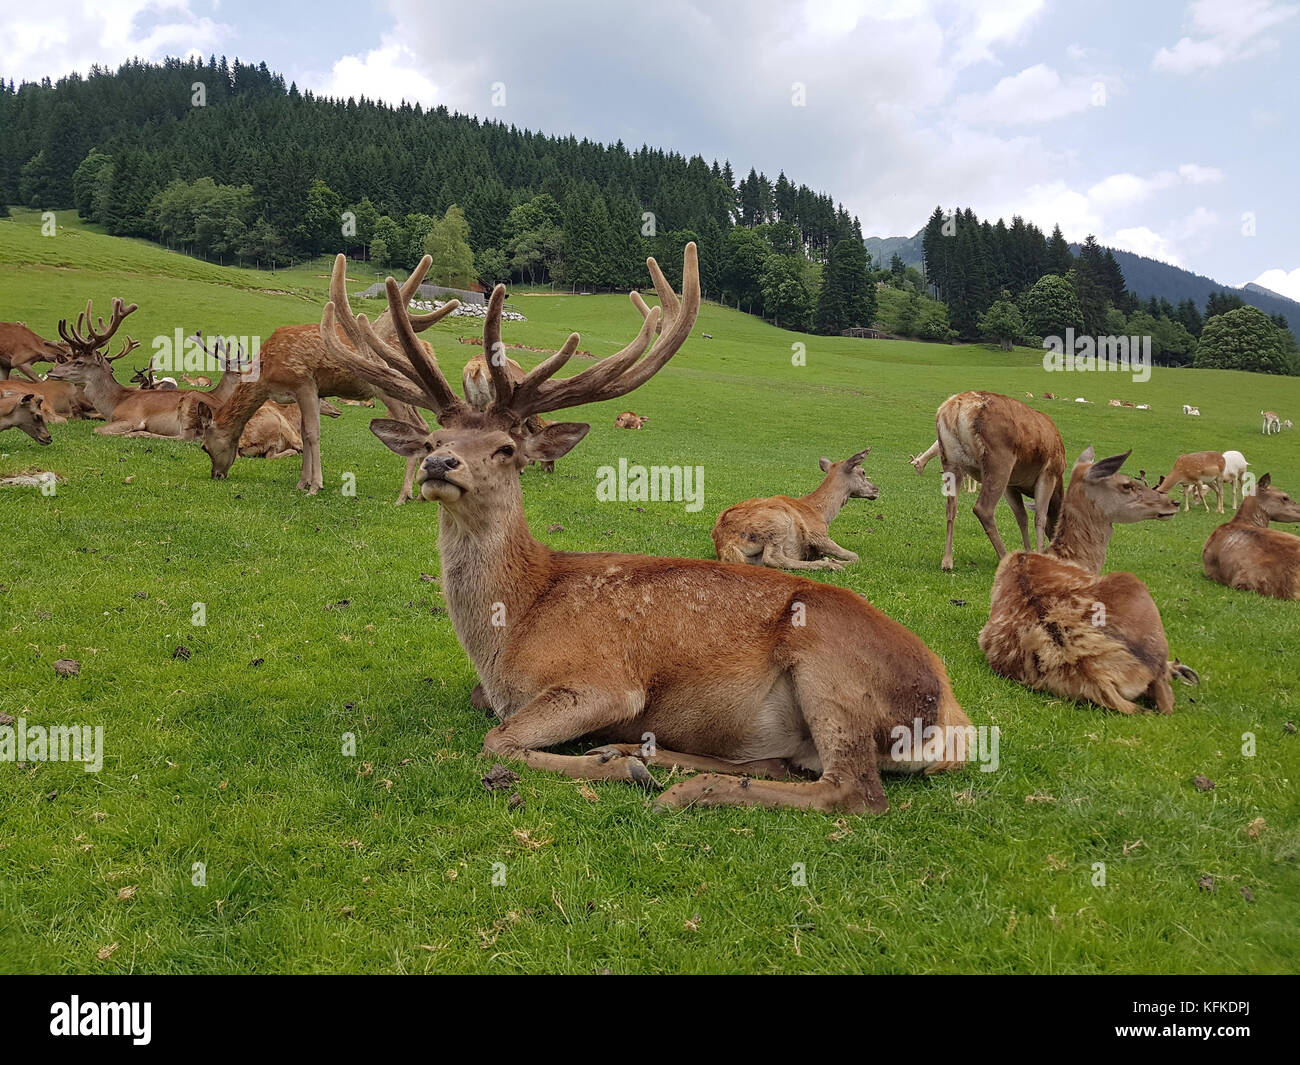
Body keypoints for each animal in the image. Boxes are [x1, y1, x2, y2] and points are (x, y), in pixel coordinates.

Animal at [46, 298, 215, 439]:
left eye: (80, 361)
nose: (50, 371)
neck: (114, 404)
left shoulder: (131, 417)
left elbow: (97, 429)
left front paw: (131, 430)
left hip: (191, 406)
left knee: (186, 437)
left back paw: (137, 433)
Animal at [202, 255, 454, 504]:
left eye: (204, 446)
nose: (217, 474)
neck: (265, 376)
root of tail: (428, 348)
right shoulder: (313, 391)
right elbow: (305, 432)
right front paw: (301, 483)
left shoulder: (302, 381)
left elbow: (312, 433)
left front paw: (315, 486)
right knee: (420, 425)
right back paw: (416, 491)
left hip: (387, 388)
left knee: (415, 424)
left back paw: (403, 494)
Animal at [712, 450, 876, 571]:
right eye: (863, 472)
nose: (876, 489)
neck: (823, 513)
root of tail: (726, 545)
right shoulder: (817, 534)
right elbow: (855, 556)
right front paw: (833, 560)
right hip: (778, 522)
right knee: (772, 558)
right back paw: (829, 565)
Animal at [913, 392, 1065, 571]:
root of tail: (956, 408)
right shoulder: (1049, 472)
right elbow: (1040, 517)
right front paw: (1040, 554)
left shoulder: (1012, 485)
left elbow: (1022, 517)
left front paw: (1028, 551)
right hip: (999, 461)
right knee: (983, 508)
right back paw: (1004, 556)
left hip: (950, 460)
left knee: (951, 508)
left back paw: (947, 561)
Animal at [979, 446, 1197, 715]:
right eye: (1127, 484)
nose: (1172, 503)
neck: (1075, 558)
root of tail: (1096, 676)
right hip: (1136, 588)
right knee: (1165, 698)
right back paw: (1181, 670)